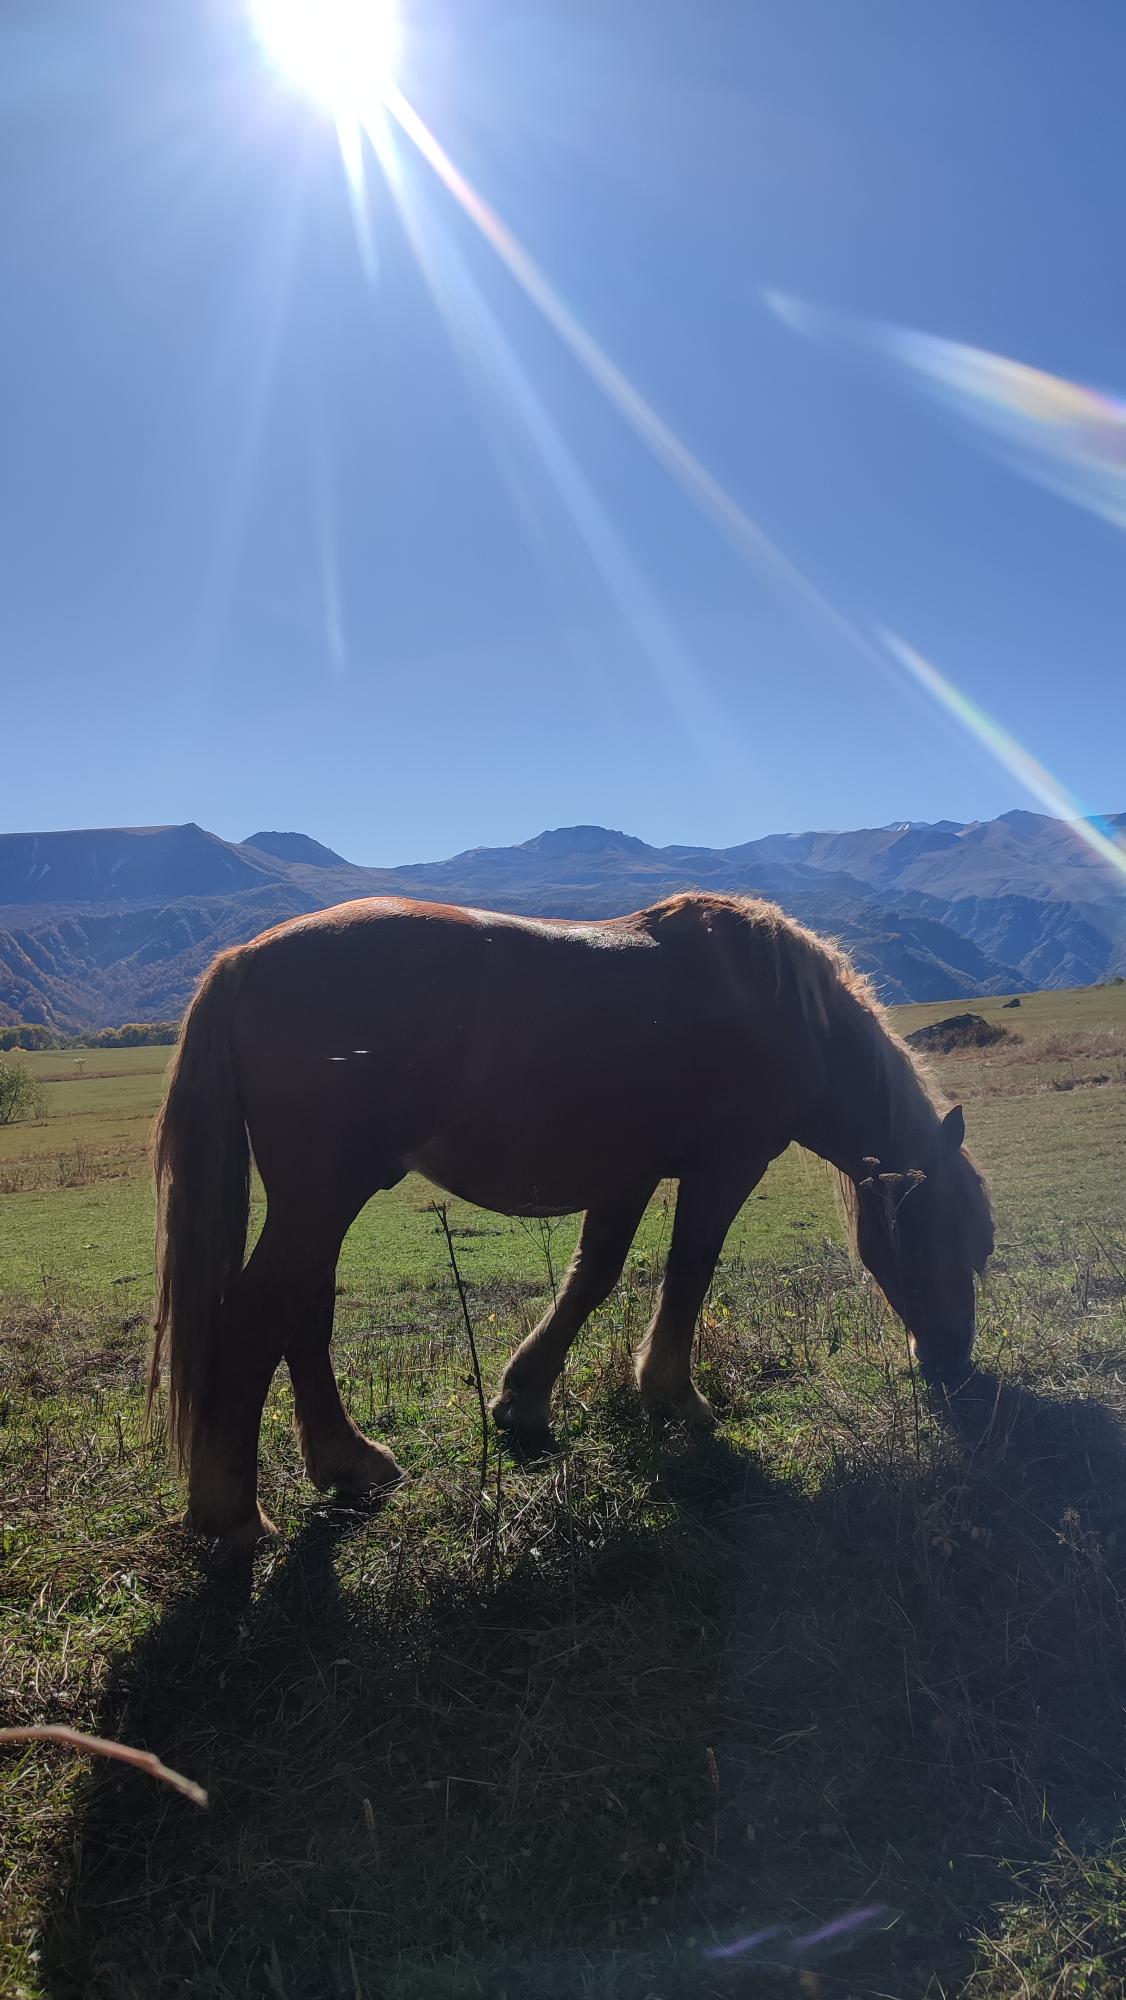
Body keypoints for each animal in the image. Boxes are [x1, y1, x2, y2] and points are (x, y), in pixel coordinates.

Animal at [150, 896, 996, 1544]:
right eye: (958, 1239)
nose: (951, 1361)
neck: (783, 1009)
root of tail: (243, 959)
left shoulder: (628, 1174)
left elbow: (593, 1277)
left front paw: (523, 1401)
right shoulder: (725, 1168)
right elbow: (688, 1276)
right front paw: (675, 1398)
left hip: (318, 1203)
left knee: (302, 1316)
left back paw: (347, 1462)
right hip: (324, 1195)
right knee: (259, 1320)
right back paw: (231, 1512)